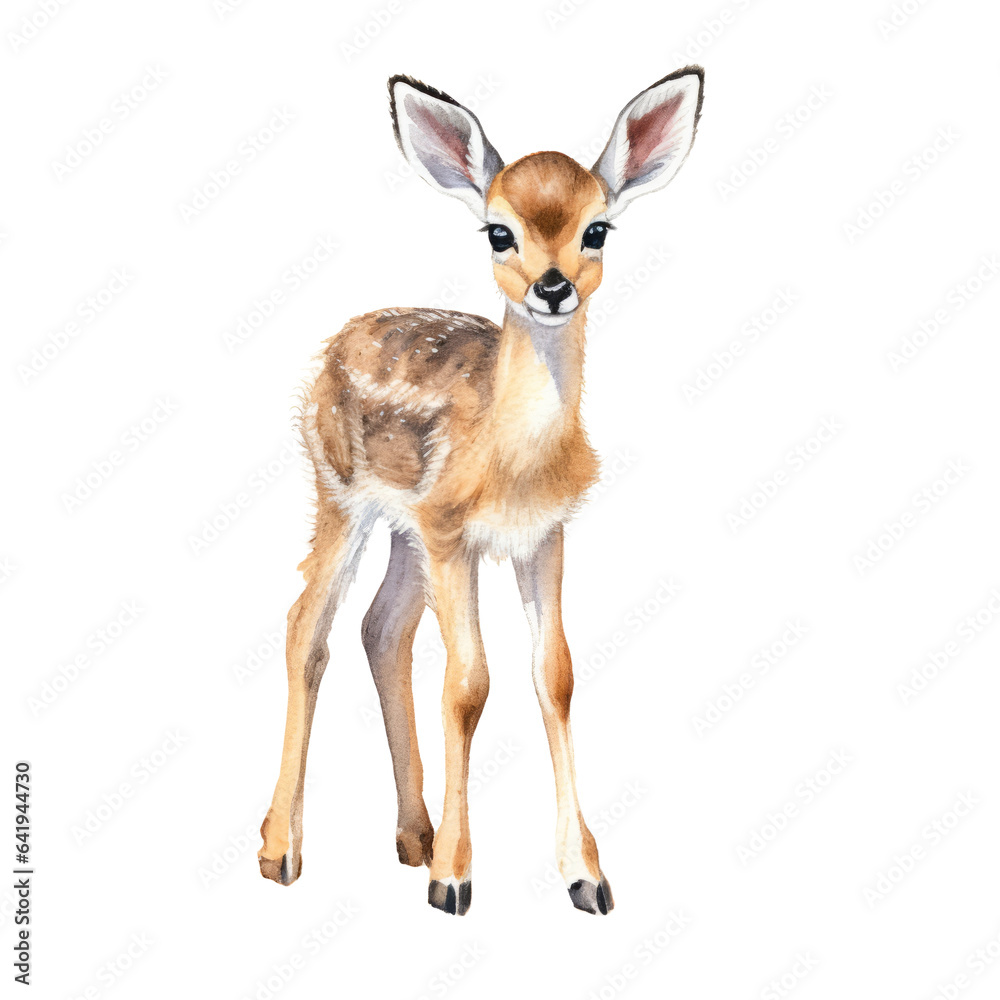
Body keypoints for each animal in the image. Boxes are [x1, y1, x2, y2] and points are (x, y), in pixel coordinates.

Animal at [258, 67, 704, 915]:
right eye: (499, 233)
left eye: (598, 230)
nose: (552, 287)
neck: (515, 463)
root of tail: (332, 345)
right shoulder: (451, 531)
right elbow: (468, 683)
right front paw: (455, 880)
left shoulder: (543, 533)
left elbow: (554, 675)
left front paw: (586, 876)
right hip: (340, 489)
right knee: (306, 625)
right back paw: (282, 852)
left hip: (404, 528)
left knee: (380, 628)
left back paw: (412, 835)